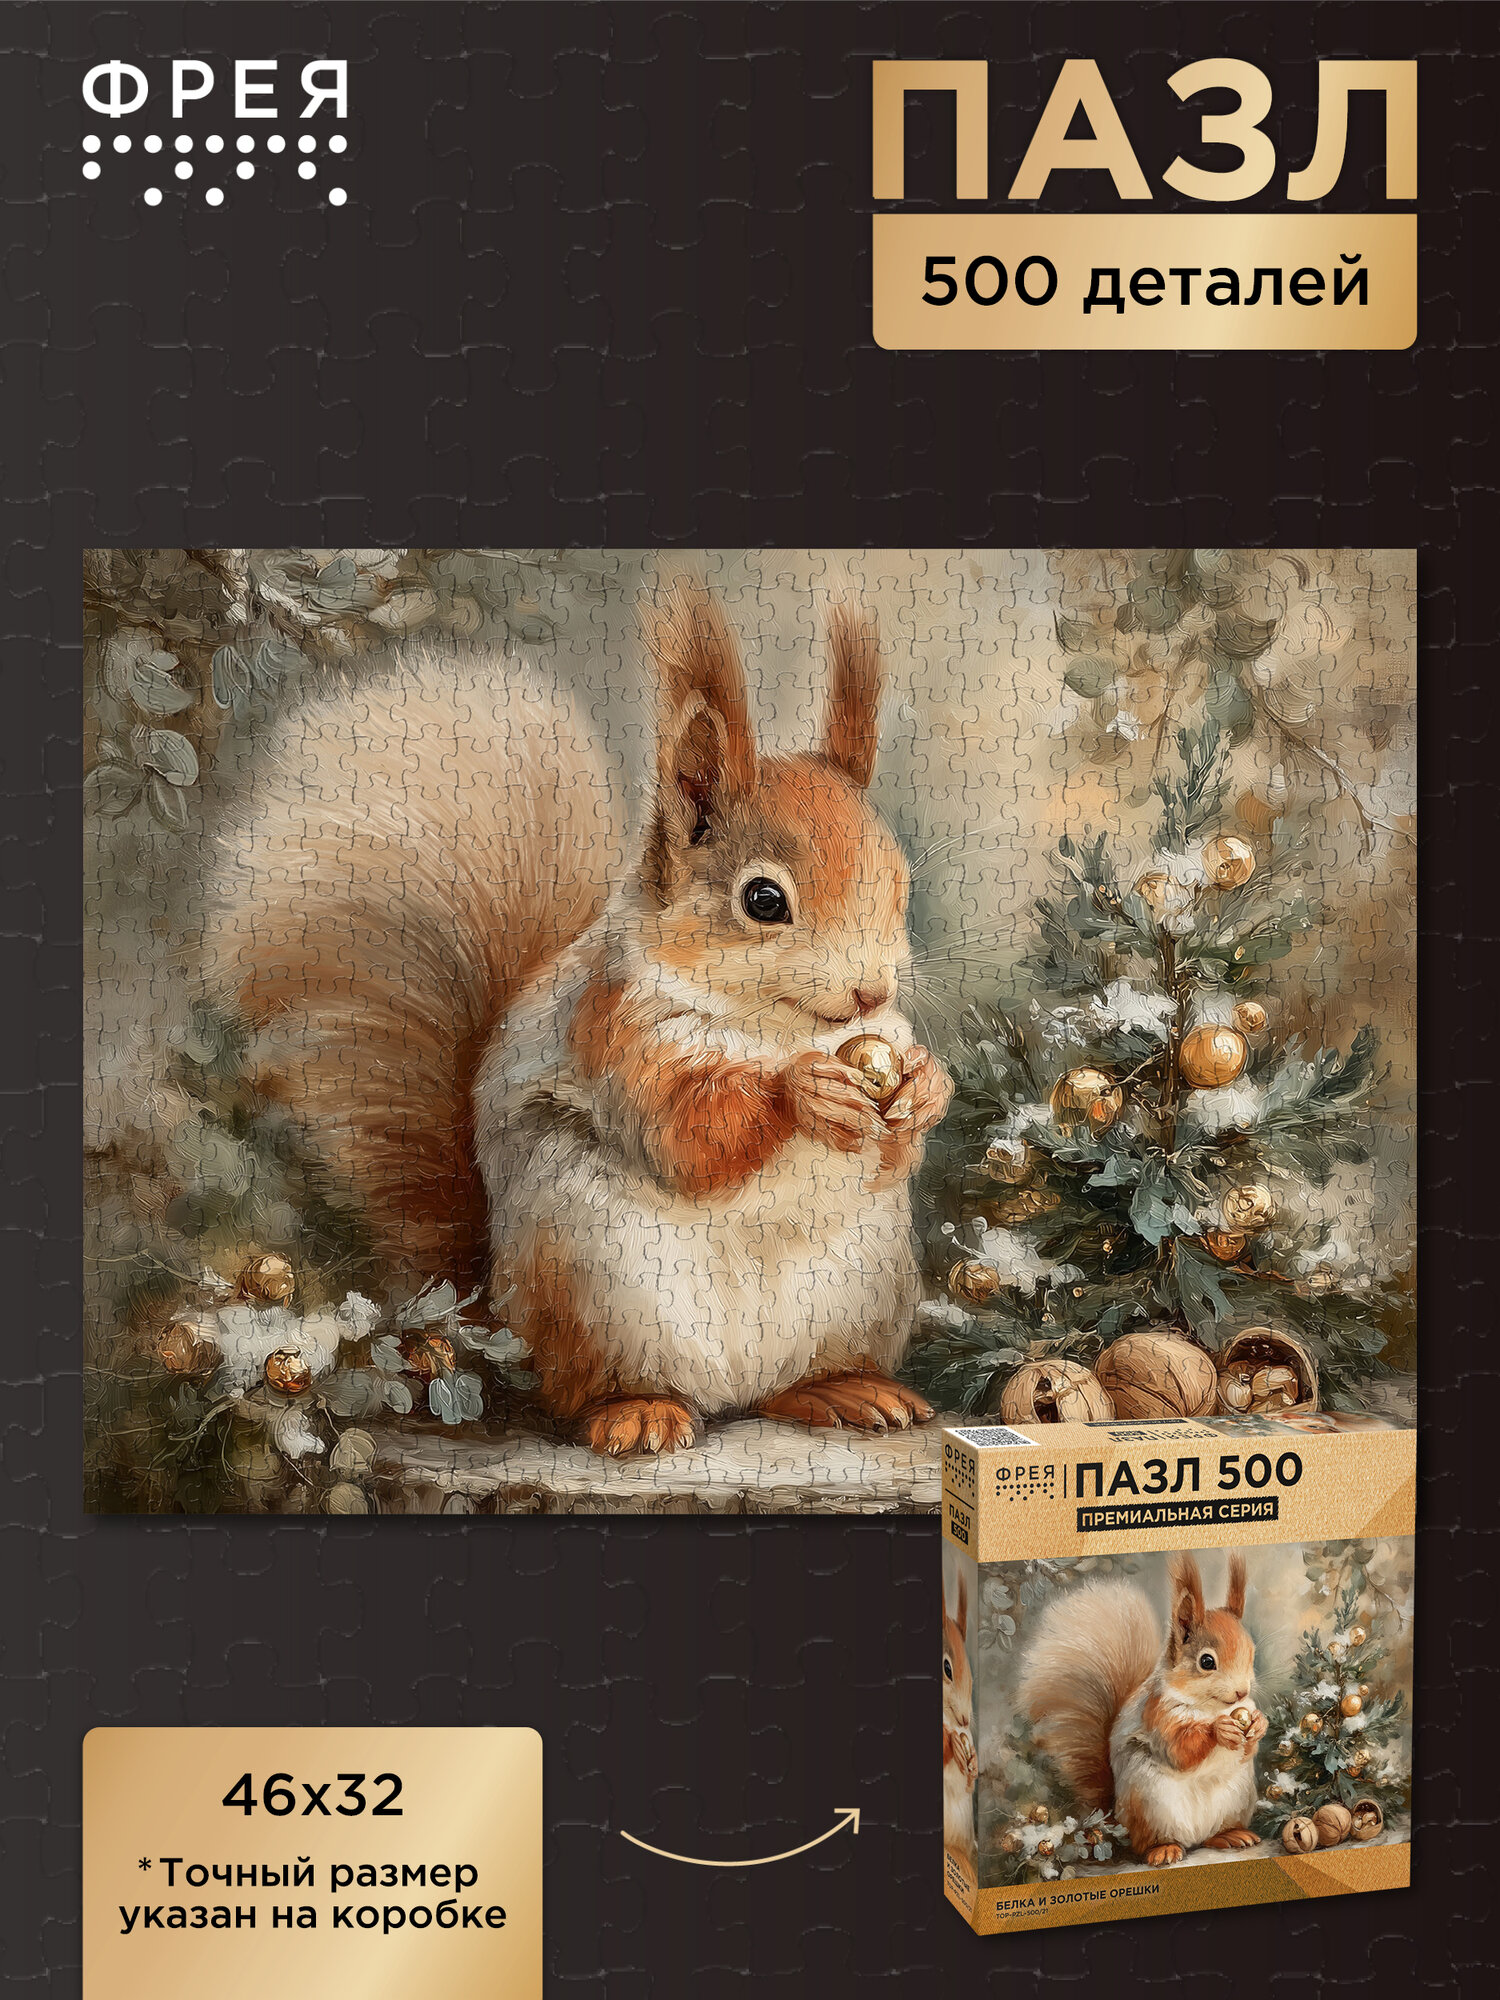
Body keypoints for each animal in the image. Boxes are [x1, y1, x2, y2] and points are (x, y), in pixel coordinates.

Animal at [210, 581, 952, 1458]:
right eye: (764, 900)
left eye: (900, 883)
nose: (872, 991)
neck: (777, 1026)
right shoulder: (618, 1037)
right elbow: (685, 1137)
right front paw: (802, 1092)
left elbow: (891, 1157)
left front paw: (926, 1089)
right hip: (594, 1279)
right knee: (589, 1391)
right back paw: (638, 1411)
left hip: (860, 1286)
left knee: (785, 1386)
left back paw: (840, 1389)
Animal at [1017, 1552, 1269, 1866]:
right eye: (1207, 1662)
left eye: (1252, 1653)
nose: (1242, 1692)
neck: (1210, 1707)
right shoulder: (1158, 1715)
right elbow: (1180, 1750)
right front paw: (1219, 1730)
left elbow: (1247, 1750)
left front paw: (1258, 1724)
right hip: (1149, 1803)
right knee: (1148, 1843)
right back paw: (1164, 1849)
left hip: (1237, 1799)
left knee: (1213, 1834)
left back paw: (1230, 1835)